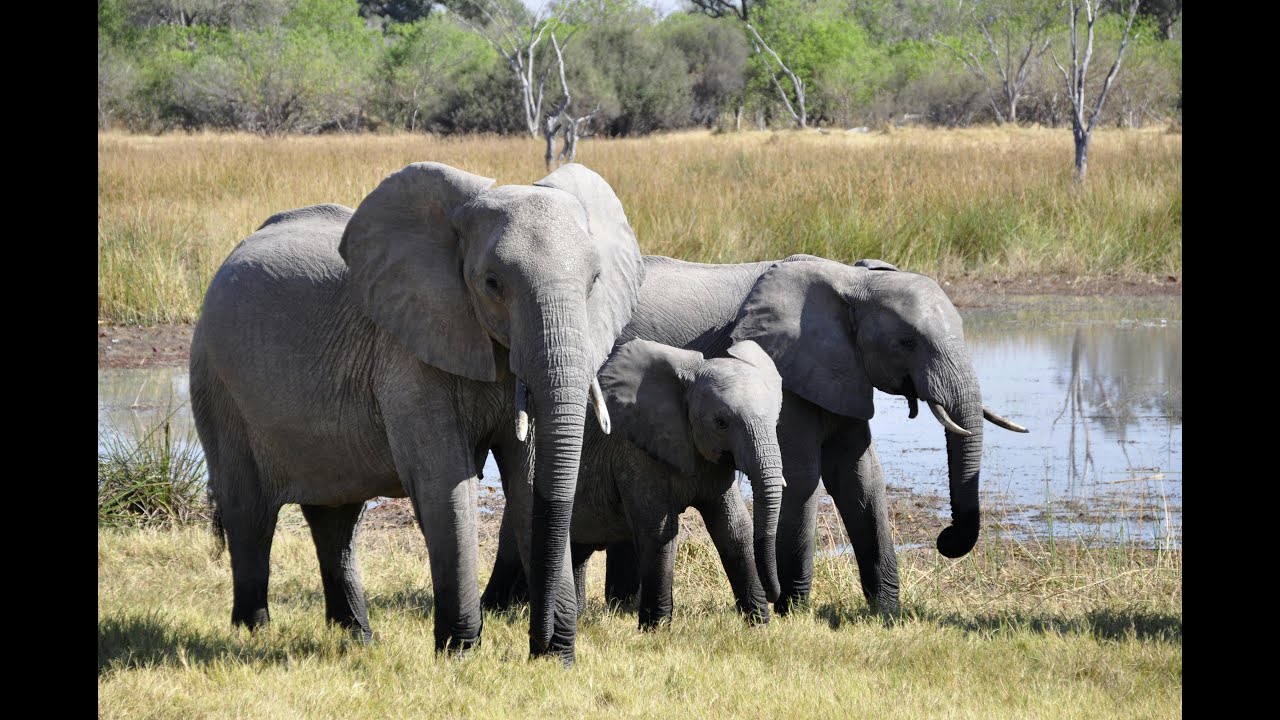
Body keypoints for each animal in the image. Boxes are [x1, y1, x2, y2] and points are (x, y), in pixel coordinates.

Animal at [189, 161, 643, 663]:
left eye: (595, 281)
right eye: (492, 284)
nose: (544, 645)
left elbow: (527, 481)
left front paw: (552, 660)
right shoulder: (406, 353)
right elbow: (444, 482)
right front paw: (459, 654)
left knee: (336, 519)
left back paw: (357, 639)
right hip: (216, 380)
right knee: (249, 512)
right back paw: (252, 634)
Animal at [567, 338, 785, 629]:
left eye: (776, 421)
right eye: (721, 423)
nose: (775, 596)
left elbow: (734, 529)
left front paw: (759, 626)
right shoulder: (634, 450)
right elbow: (659, 532)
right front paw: (656, 630)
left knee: (578, 548)